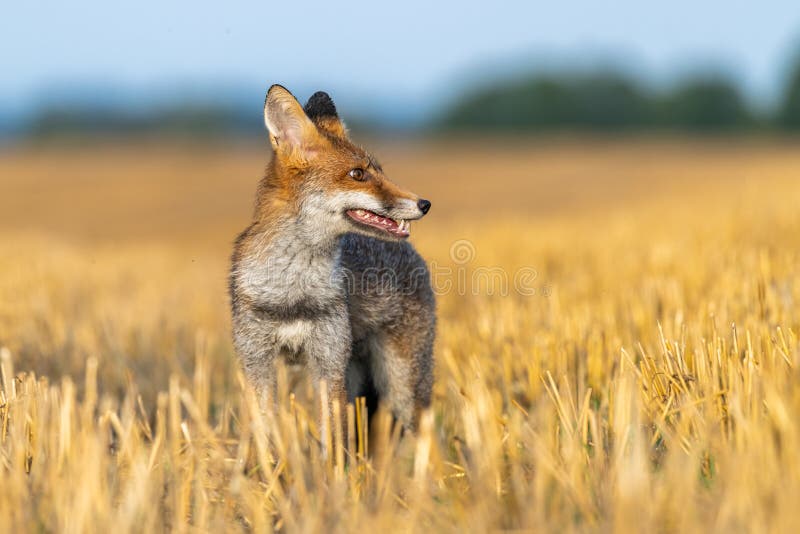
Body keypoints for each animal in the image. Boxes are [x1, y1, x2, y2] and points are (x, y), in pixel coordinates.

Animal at [229, 85, 435, 431]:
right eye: (358, 174)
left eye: (380, 171)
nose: (424, 204)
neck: (292, 289)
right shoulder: (258, 363)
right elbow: (265, 433)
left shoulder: (329, 364)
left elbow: (334, 440)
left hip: (401, 384)